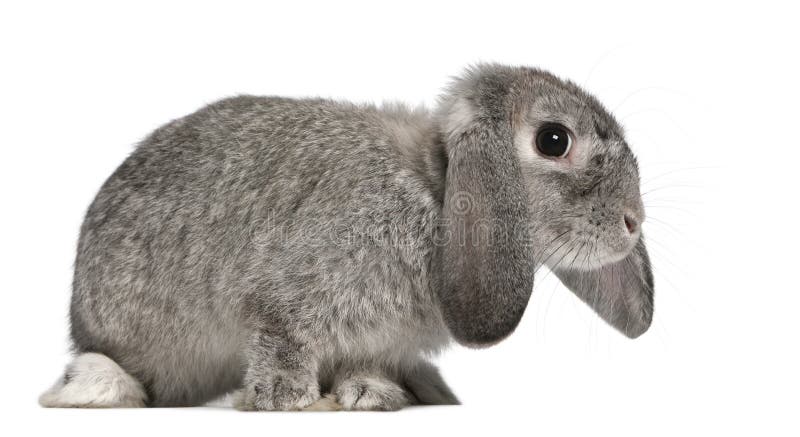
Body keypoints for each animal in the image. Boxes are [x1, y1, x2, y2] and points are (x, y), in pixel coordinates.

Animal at [39, 64, 653, 411]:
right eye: (554, 140)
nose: (633, 221)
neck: (434, 191)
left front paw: (371, 393)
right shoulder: (285, 296)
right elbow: (279, 332)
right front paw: (287, 397)